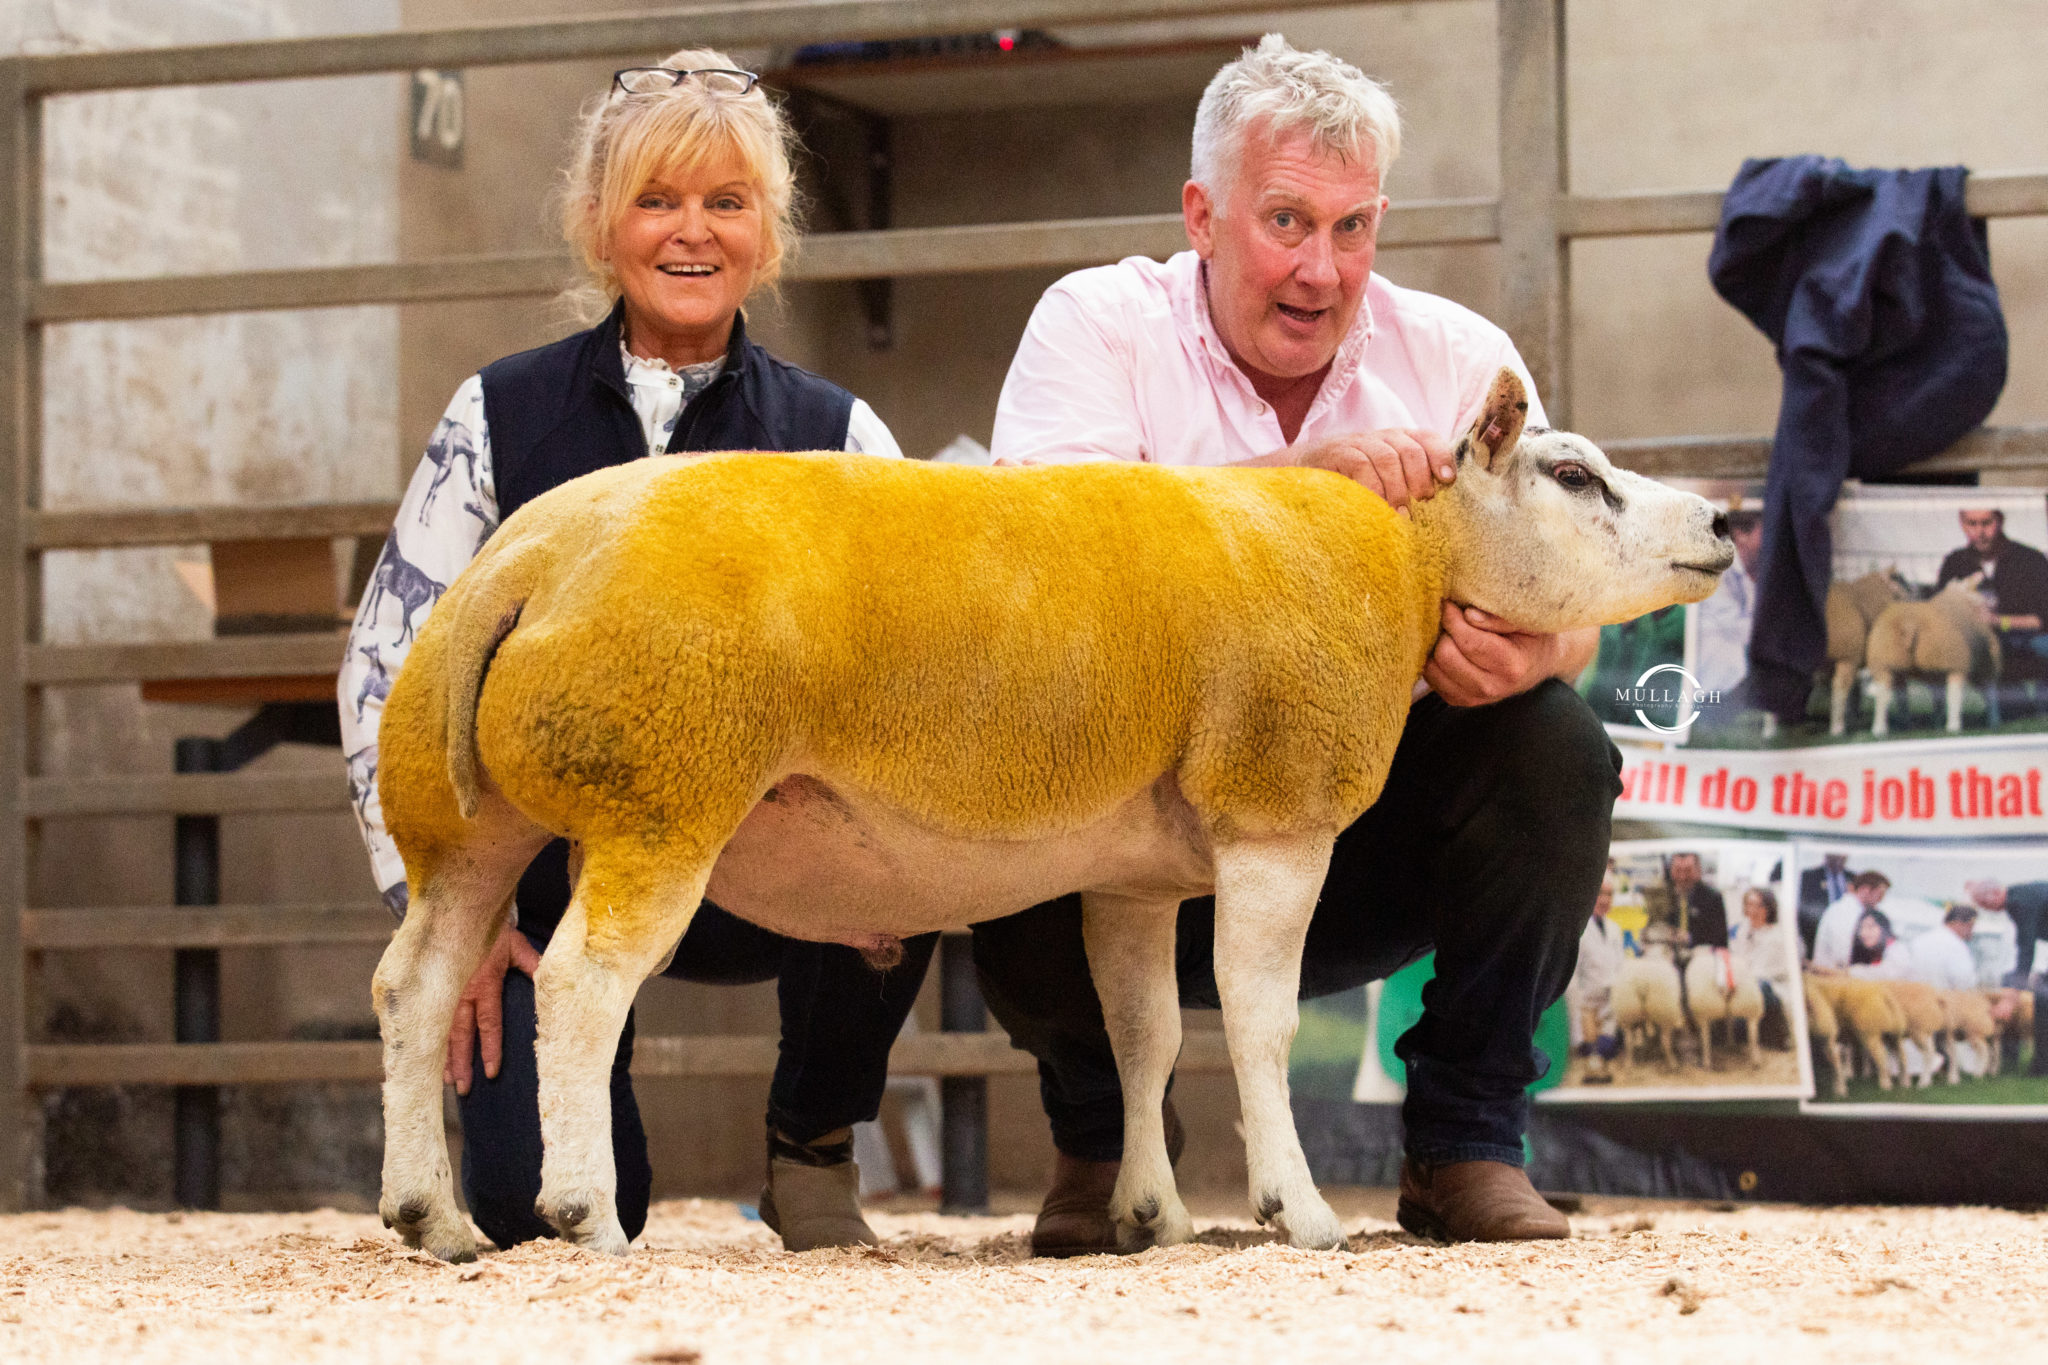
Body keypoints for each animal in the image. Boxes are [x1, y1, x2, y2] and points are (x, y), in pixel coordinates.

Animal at [368, 368, 1732, 1262]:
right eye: (1573, 475)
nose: (1720, 522)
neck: (1404, 566)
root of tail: (523, 565)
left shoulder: (1134, 878)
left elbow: (1144, 1037)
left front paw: (1153, 1215)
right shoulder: (1273, 821)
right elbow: (1256, 1023)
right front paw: (1294, 1211)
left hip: (464, 825)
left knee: (416, 986)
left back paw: (431, 1217)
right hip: (662, 797)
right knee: (579, 988)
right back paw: (581, 1214)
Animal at [1865, 573, 2001, 737]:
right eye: (1978, 589)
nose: (1995, 601)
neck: (1962, 599)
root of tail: (1909, 625)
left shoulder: (1935, 671)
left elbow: (1937, 699)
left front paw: (1937, 723)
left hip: (1886, 662)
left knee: (1886, 696)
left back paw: (1883, 728)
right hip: (1959, 662)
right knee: (1962, 694)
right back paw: (1958, 725)